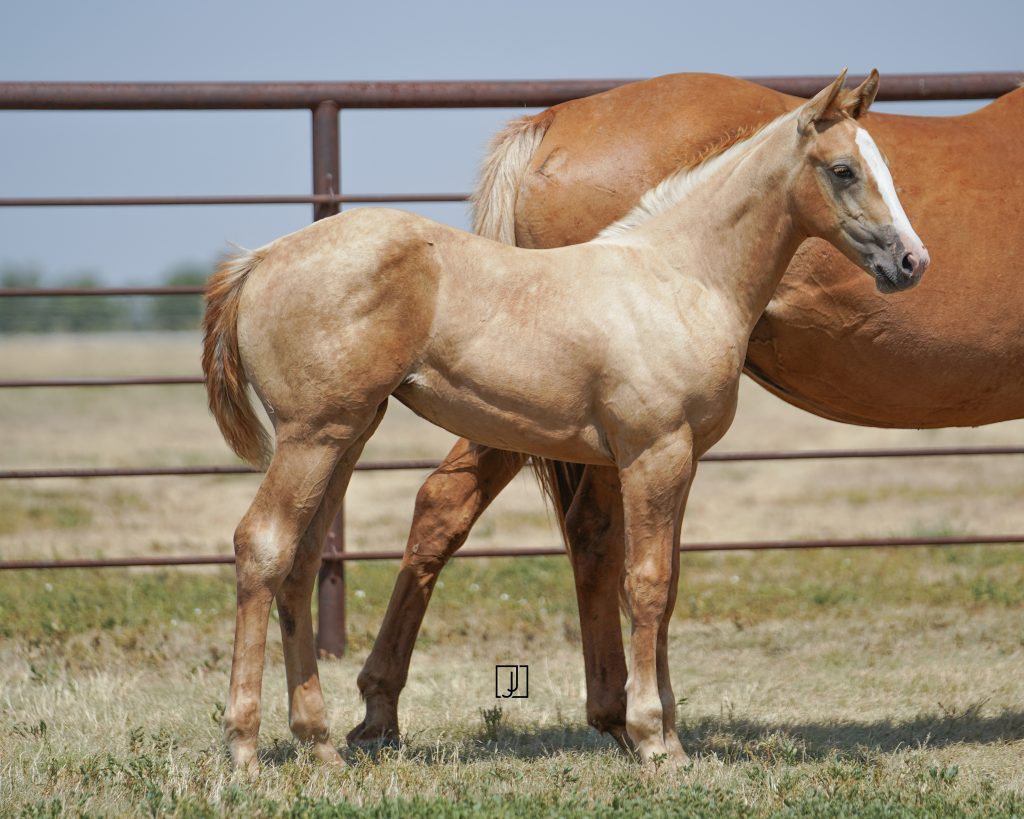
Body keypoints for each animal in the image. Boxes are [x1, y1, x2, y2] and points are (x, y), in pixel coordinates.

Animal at [203, 70, 927, 770]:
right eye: (844, 169)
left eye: (885, 165)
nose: (911, 262)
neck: (681, 277)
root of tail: (260, 260)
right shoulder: (654, 452)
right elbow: (646, 584)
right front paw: (653, 739)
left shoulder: (679, 460)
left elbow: (666, 585)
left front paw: (671, 738)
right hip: (312, 436)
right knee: (262, 546)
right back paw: (244, 748)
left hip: (346, 435)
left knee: (299, 562)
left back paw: (320, 743)